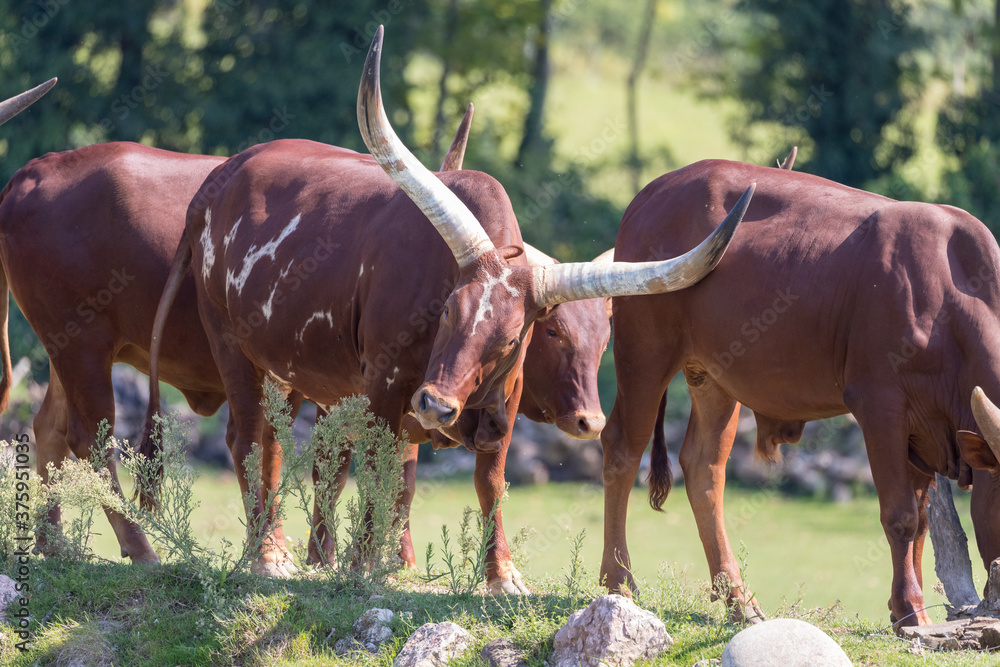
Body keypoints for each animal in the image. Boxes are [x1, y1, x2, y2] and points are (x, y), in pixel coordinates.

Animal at [140, 26, 751, 590]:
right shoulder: (384, 386)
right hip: (231, 342)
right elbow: (381, 470)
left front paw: (500, 574)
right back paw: (268, 554)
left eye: (517, 337)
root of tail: (218, 179)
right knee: (247, 438)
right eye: (448, 312)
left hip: (286, 367)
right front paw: (364, 565)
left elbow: (487, 482)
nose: (435, 404)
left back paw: (279, 548)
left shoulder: (503, 406)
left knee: (270, 445)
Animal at [597, 156, 1000, 630]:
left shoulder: (922, 428)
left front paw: (907, 607)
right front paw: (910, 610)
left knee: (703, 466)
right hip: (643, 353)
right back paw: (619, 582)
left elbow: (920, 522)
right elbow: (900, 516)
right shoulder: (879, 404)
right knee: (622, 449)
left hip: (714, 375)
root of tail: (651, 193)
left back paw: (738, 599)